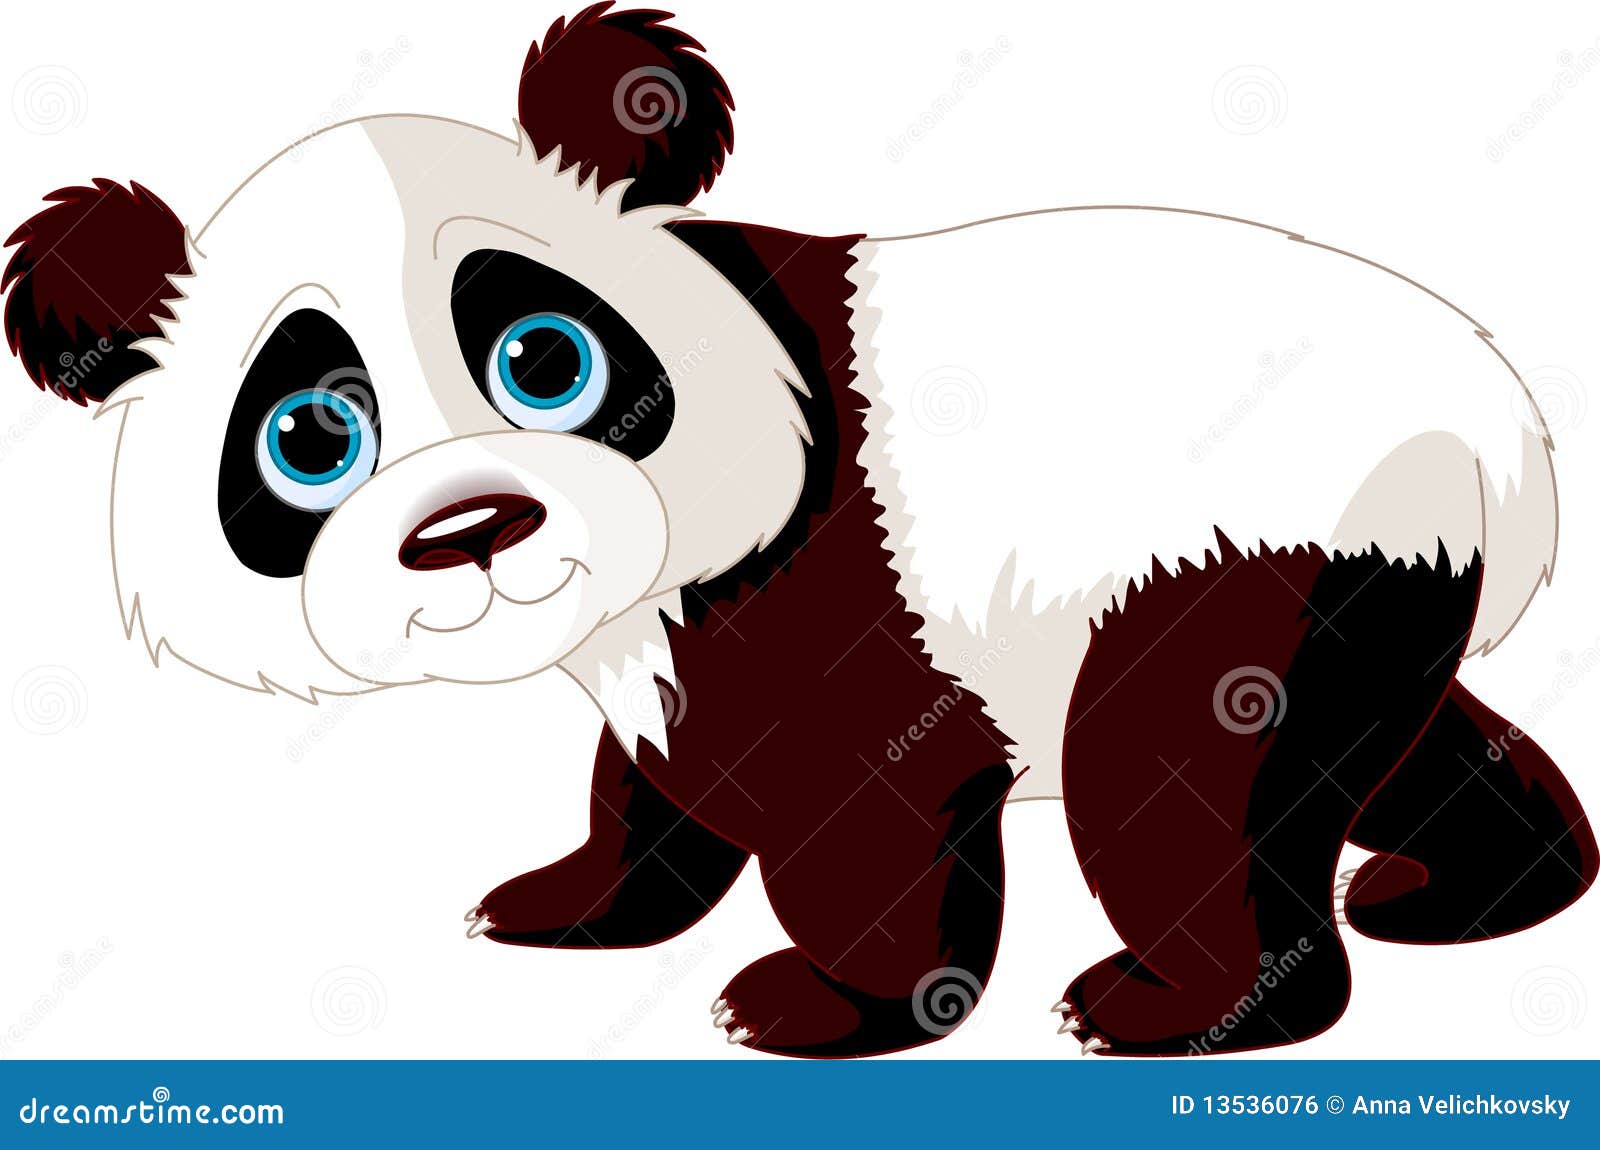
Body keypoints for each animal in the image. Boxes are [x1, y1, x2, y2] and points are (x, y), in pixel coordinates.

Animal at [4, 3, 1594, 1058]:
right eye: (311, 439)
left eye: (543, 359)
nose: (475, 528)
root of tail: (1502, 439)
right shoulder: (656, 629)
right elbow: (659, 772)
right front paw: (569, 902)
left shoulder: (815, 578)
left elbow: (862, 796)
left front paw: (822, 1000)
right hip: (1356, 567)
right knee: (1391, 739)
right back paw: (1466, 887)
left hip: (1227, 558)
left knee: (1177, 773)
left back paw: (1179, 1002)